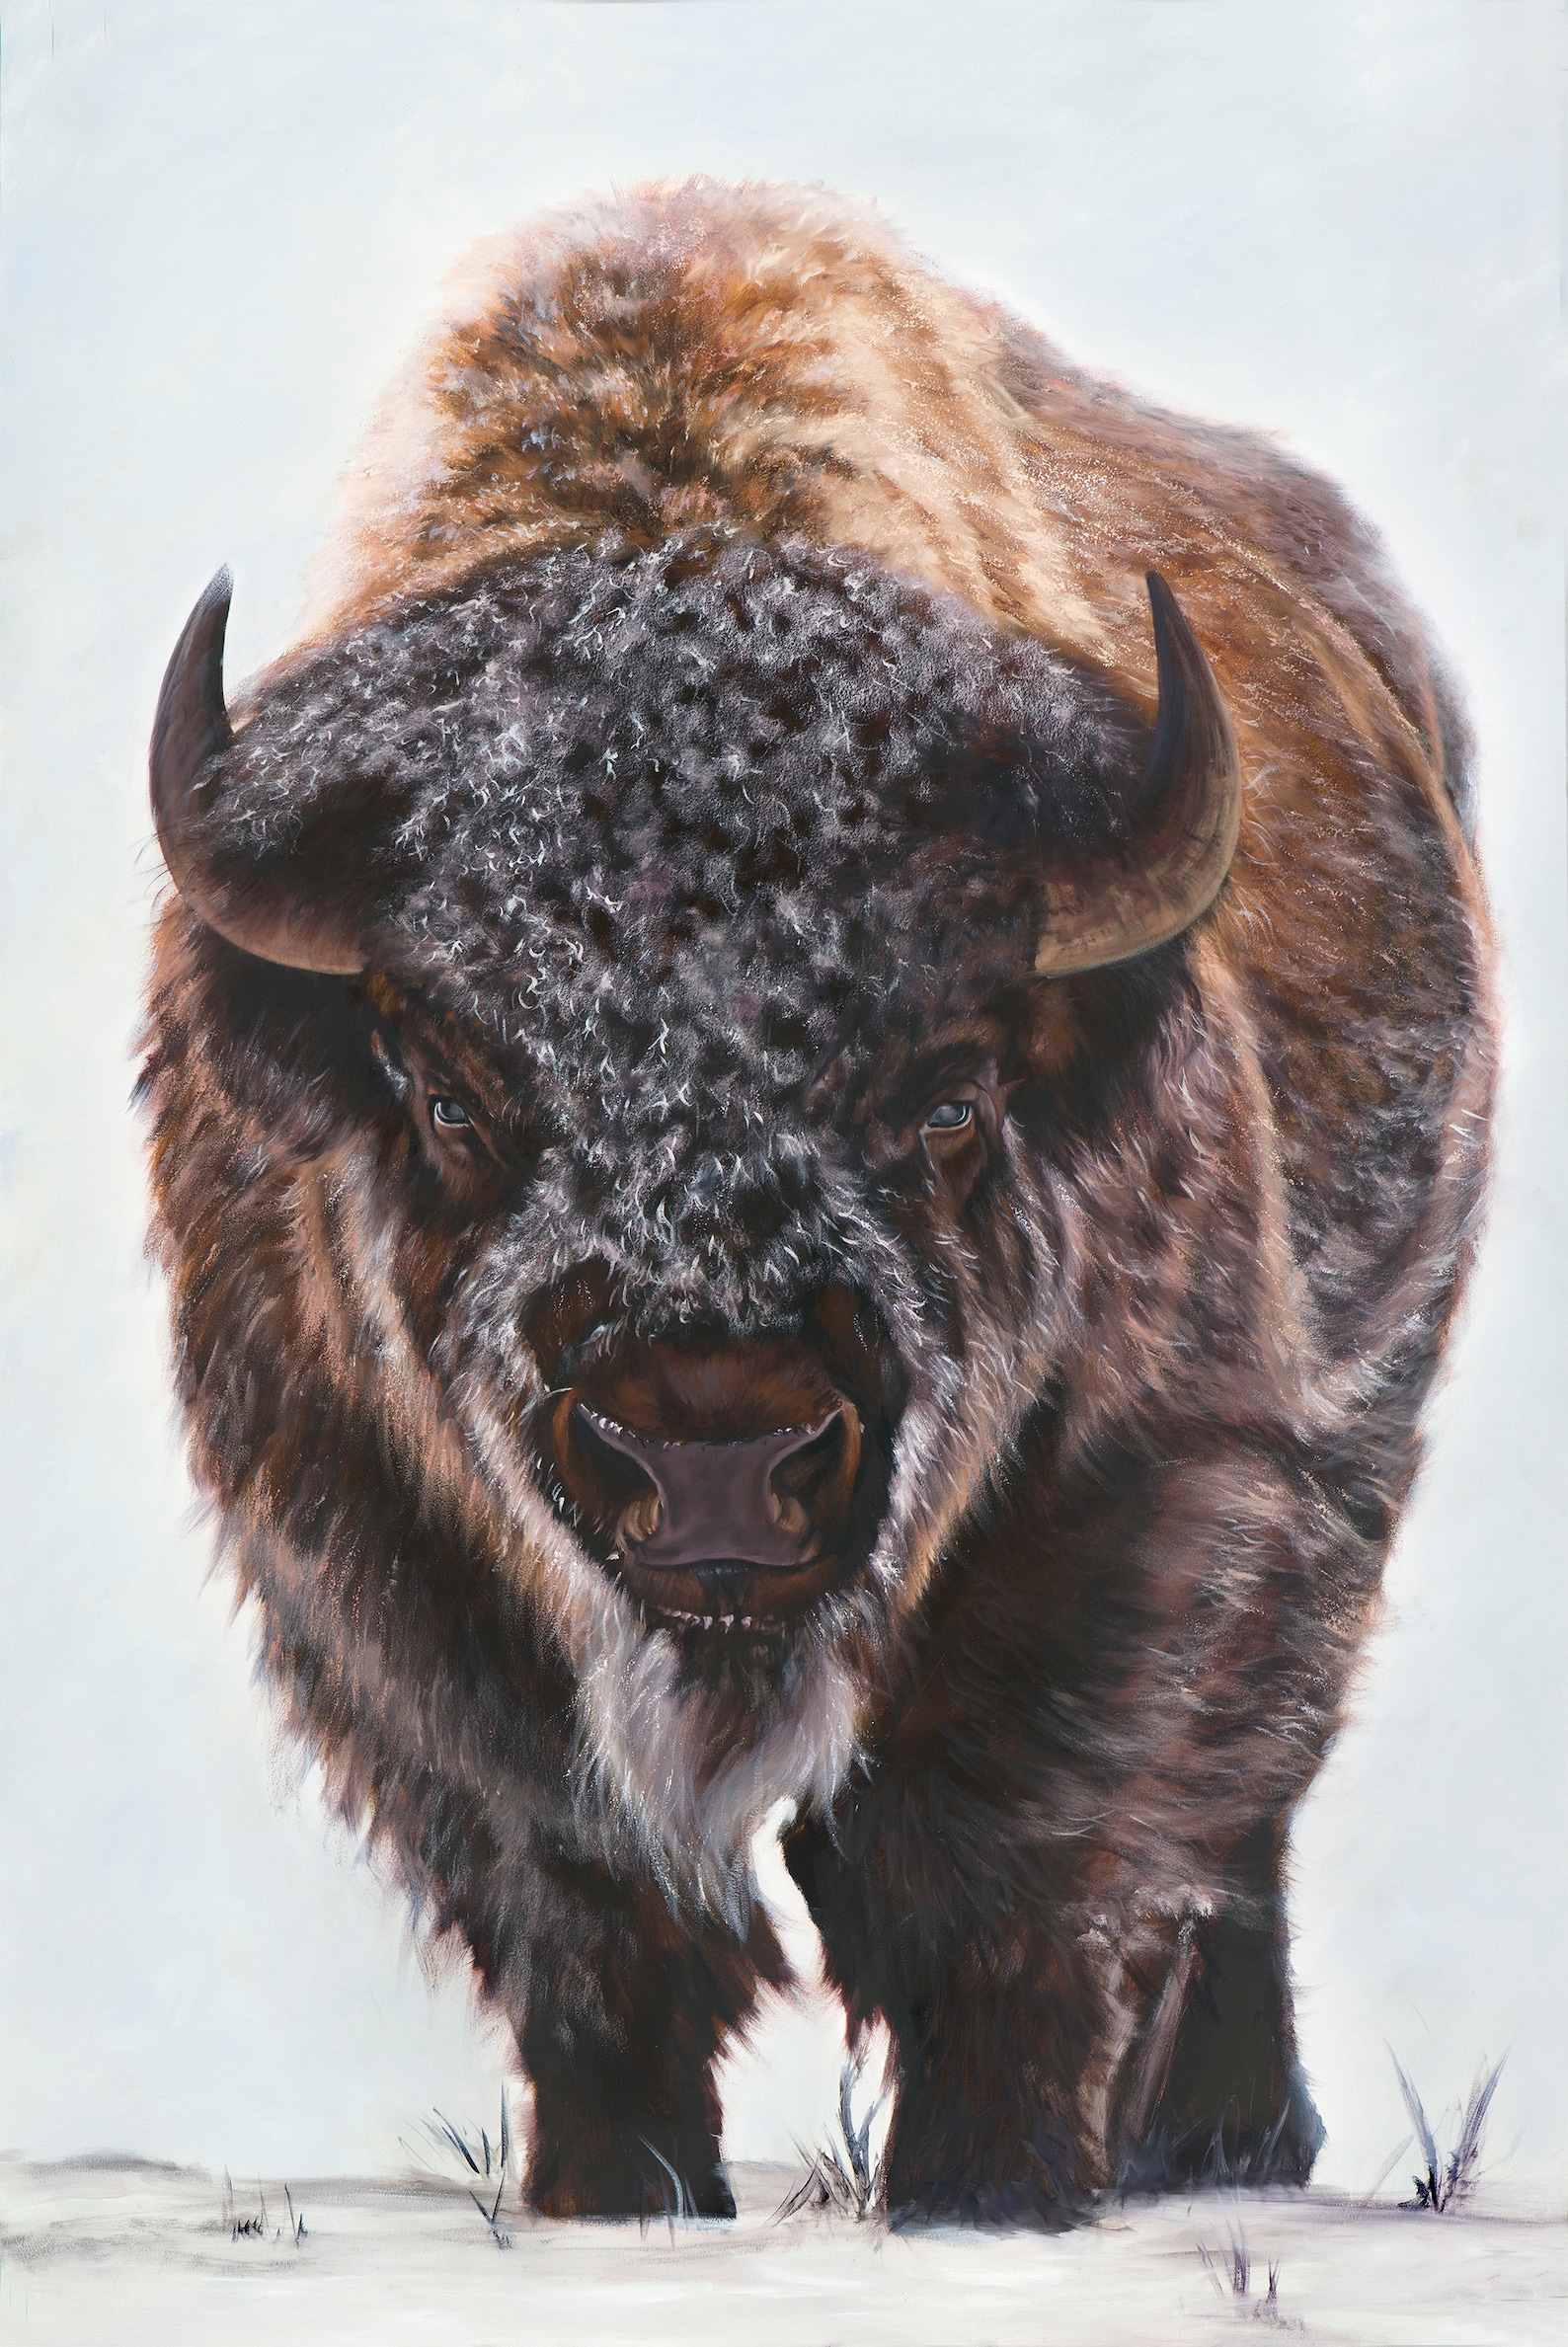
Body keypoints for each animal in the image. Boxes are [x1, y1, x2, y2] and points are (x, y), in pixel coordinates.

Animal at [141, 181, 1494, 2222]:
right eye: (445, 1084)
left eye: (949, 1089)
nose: (711, 1460)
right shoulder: (366, 1536)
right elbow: (584, 1896)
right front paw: (616, 2194)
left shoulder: (1144, 1489)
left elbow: (1002, 1856)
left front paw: (985, 2191)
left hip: (1338, 1449)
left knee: (1238, 1813)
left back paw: (1219, 2142)